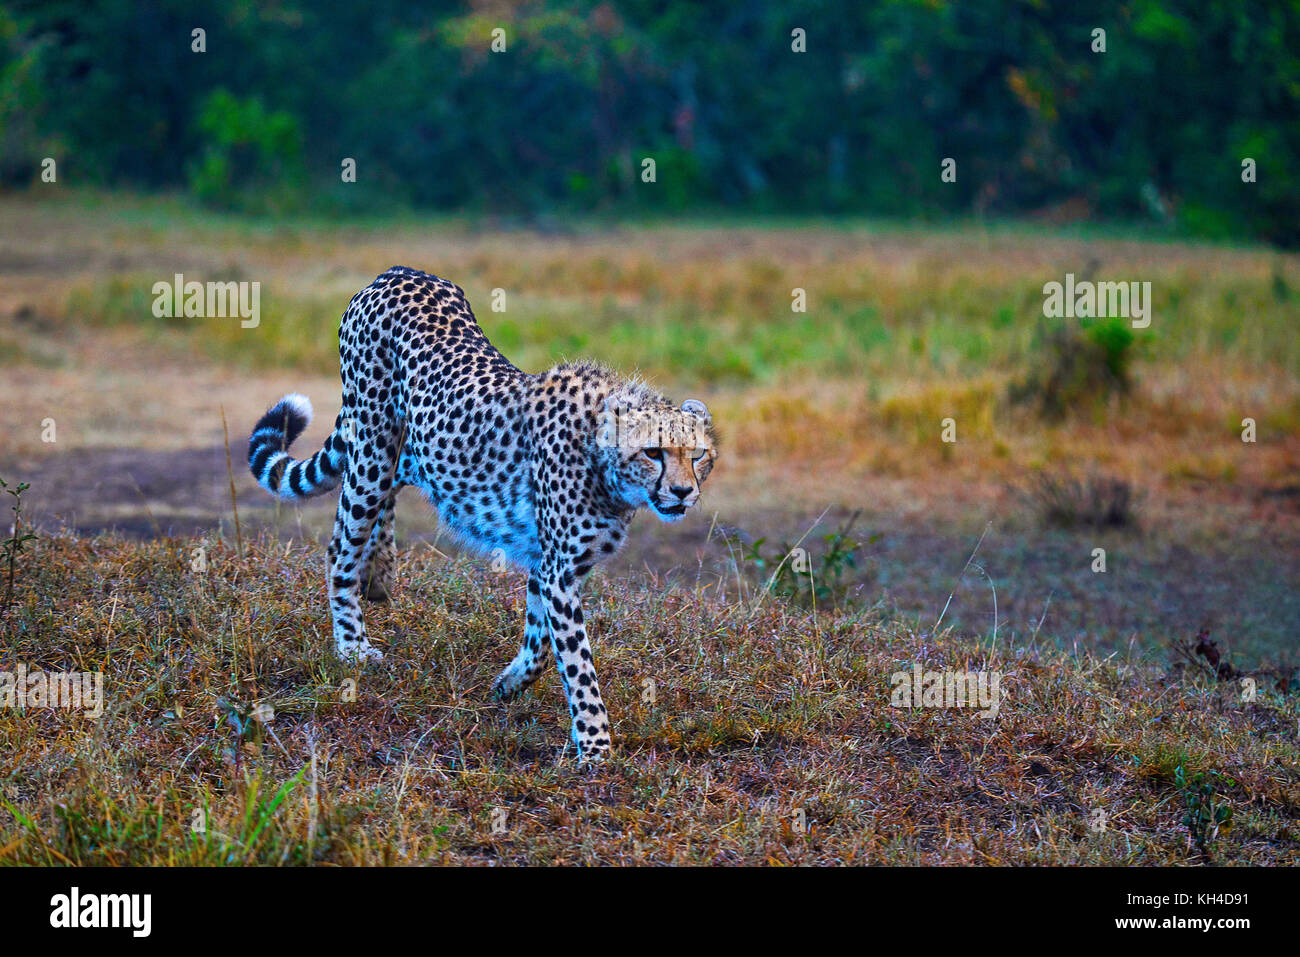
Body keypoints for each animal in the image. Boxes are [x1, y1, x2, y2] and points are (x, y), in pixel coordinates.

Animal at [248, 266, 718, 761]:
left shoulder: (550, 565)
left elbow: (540, 644)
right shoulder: (559, 570)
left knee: (375, 505)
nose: (683, 492)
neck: (606, 465)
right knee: (342, 544)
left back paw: (379, 573)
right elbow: (577, 663)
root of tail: (398, 272)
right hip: (372, 445)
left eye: (699, 454)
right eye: (653, 452)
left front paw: (510, 684)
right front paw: (595, 747)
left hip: (411, 449)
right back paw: (353, 644)